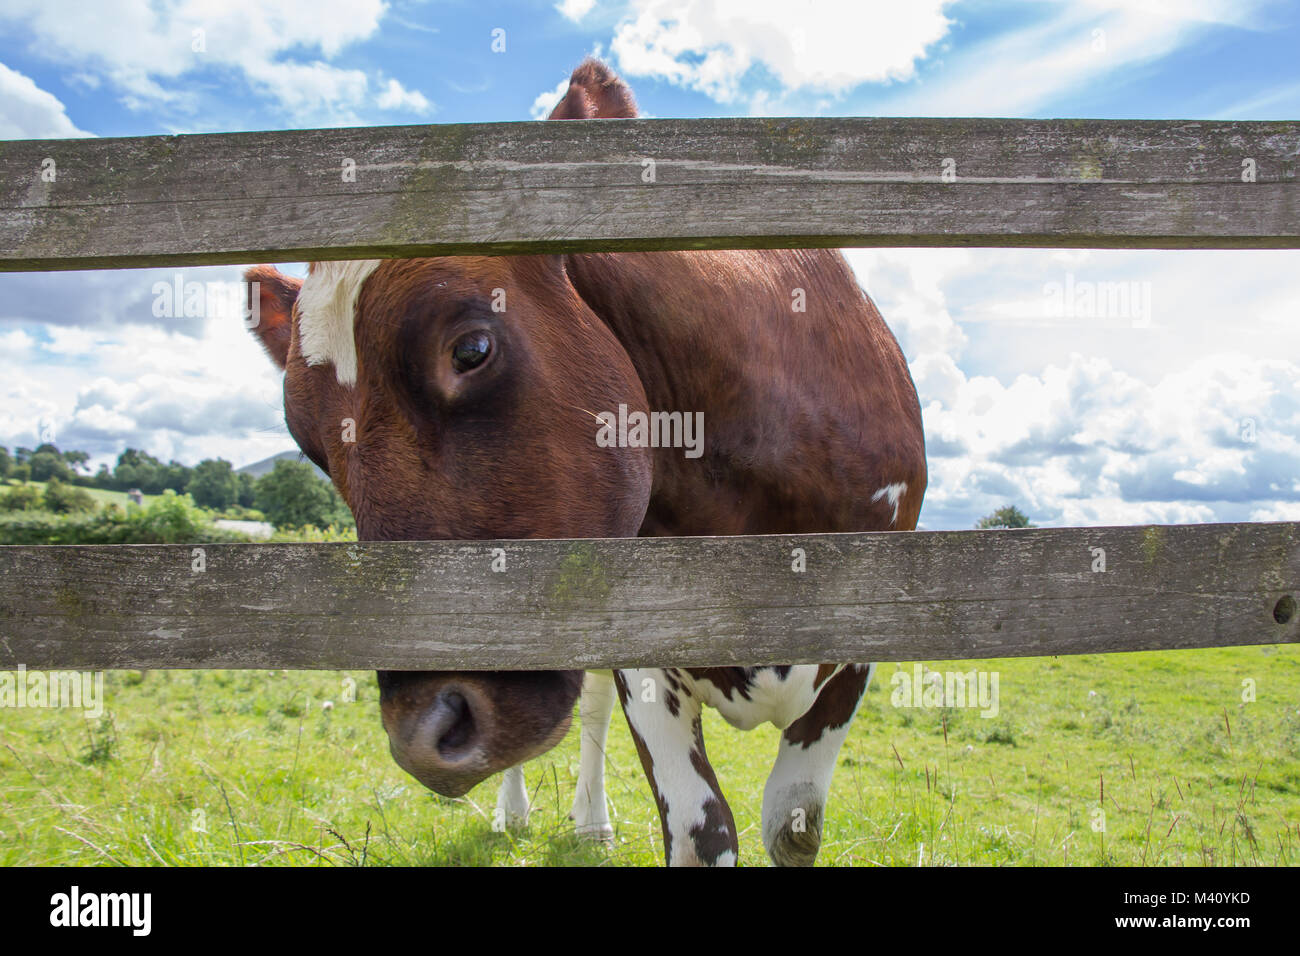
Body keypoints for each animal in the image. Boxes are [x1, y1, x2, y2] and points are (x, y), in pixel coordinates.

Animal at [243, 59, 926, 866]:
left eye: (471, 350)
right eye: (306, 438)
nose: (421, 735)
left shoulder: (857, 650)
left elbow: (793, 825)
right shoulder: (640, 651)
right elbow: (701, 830)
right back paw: (527, 813)